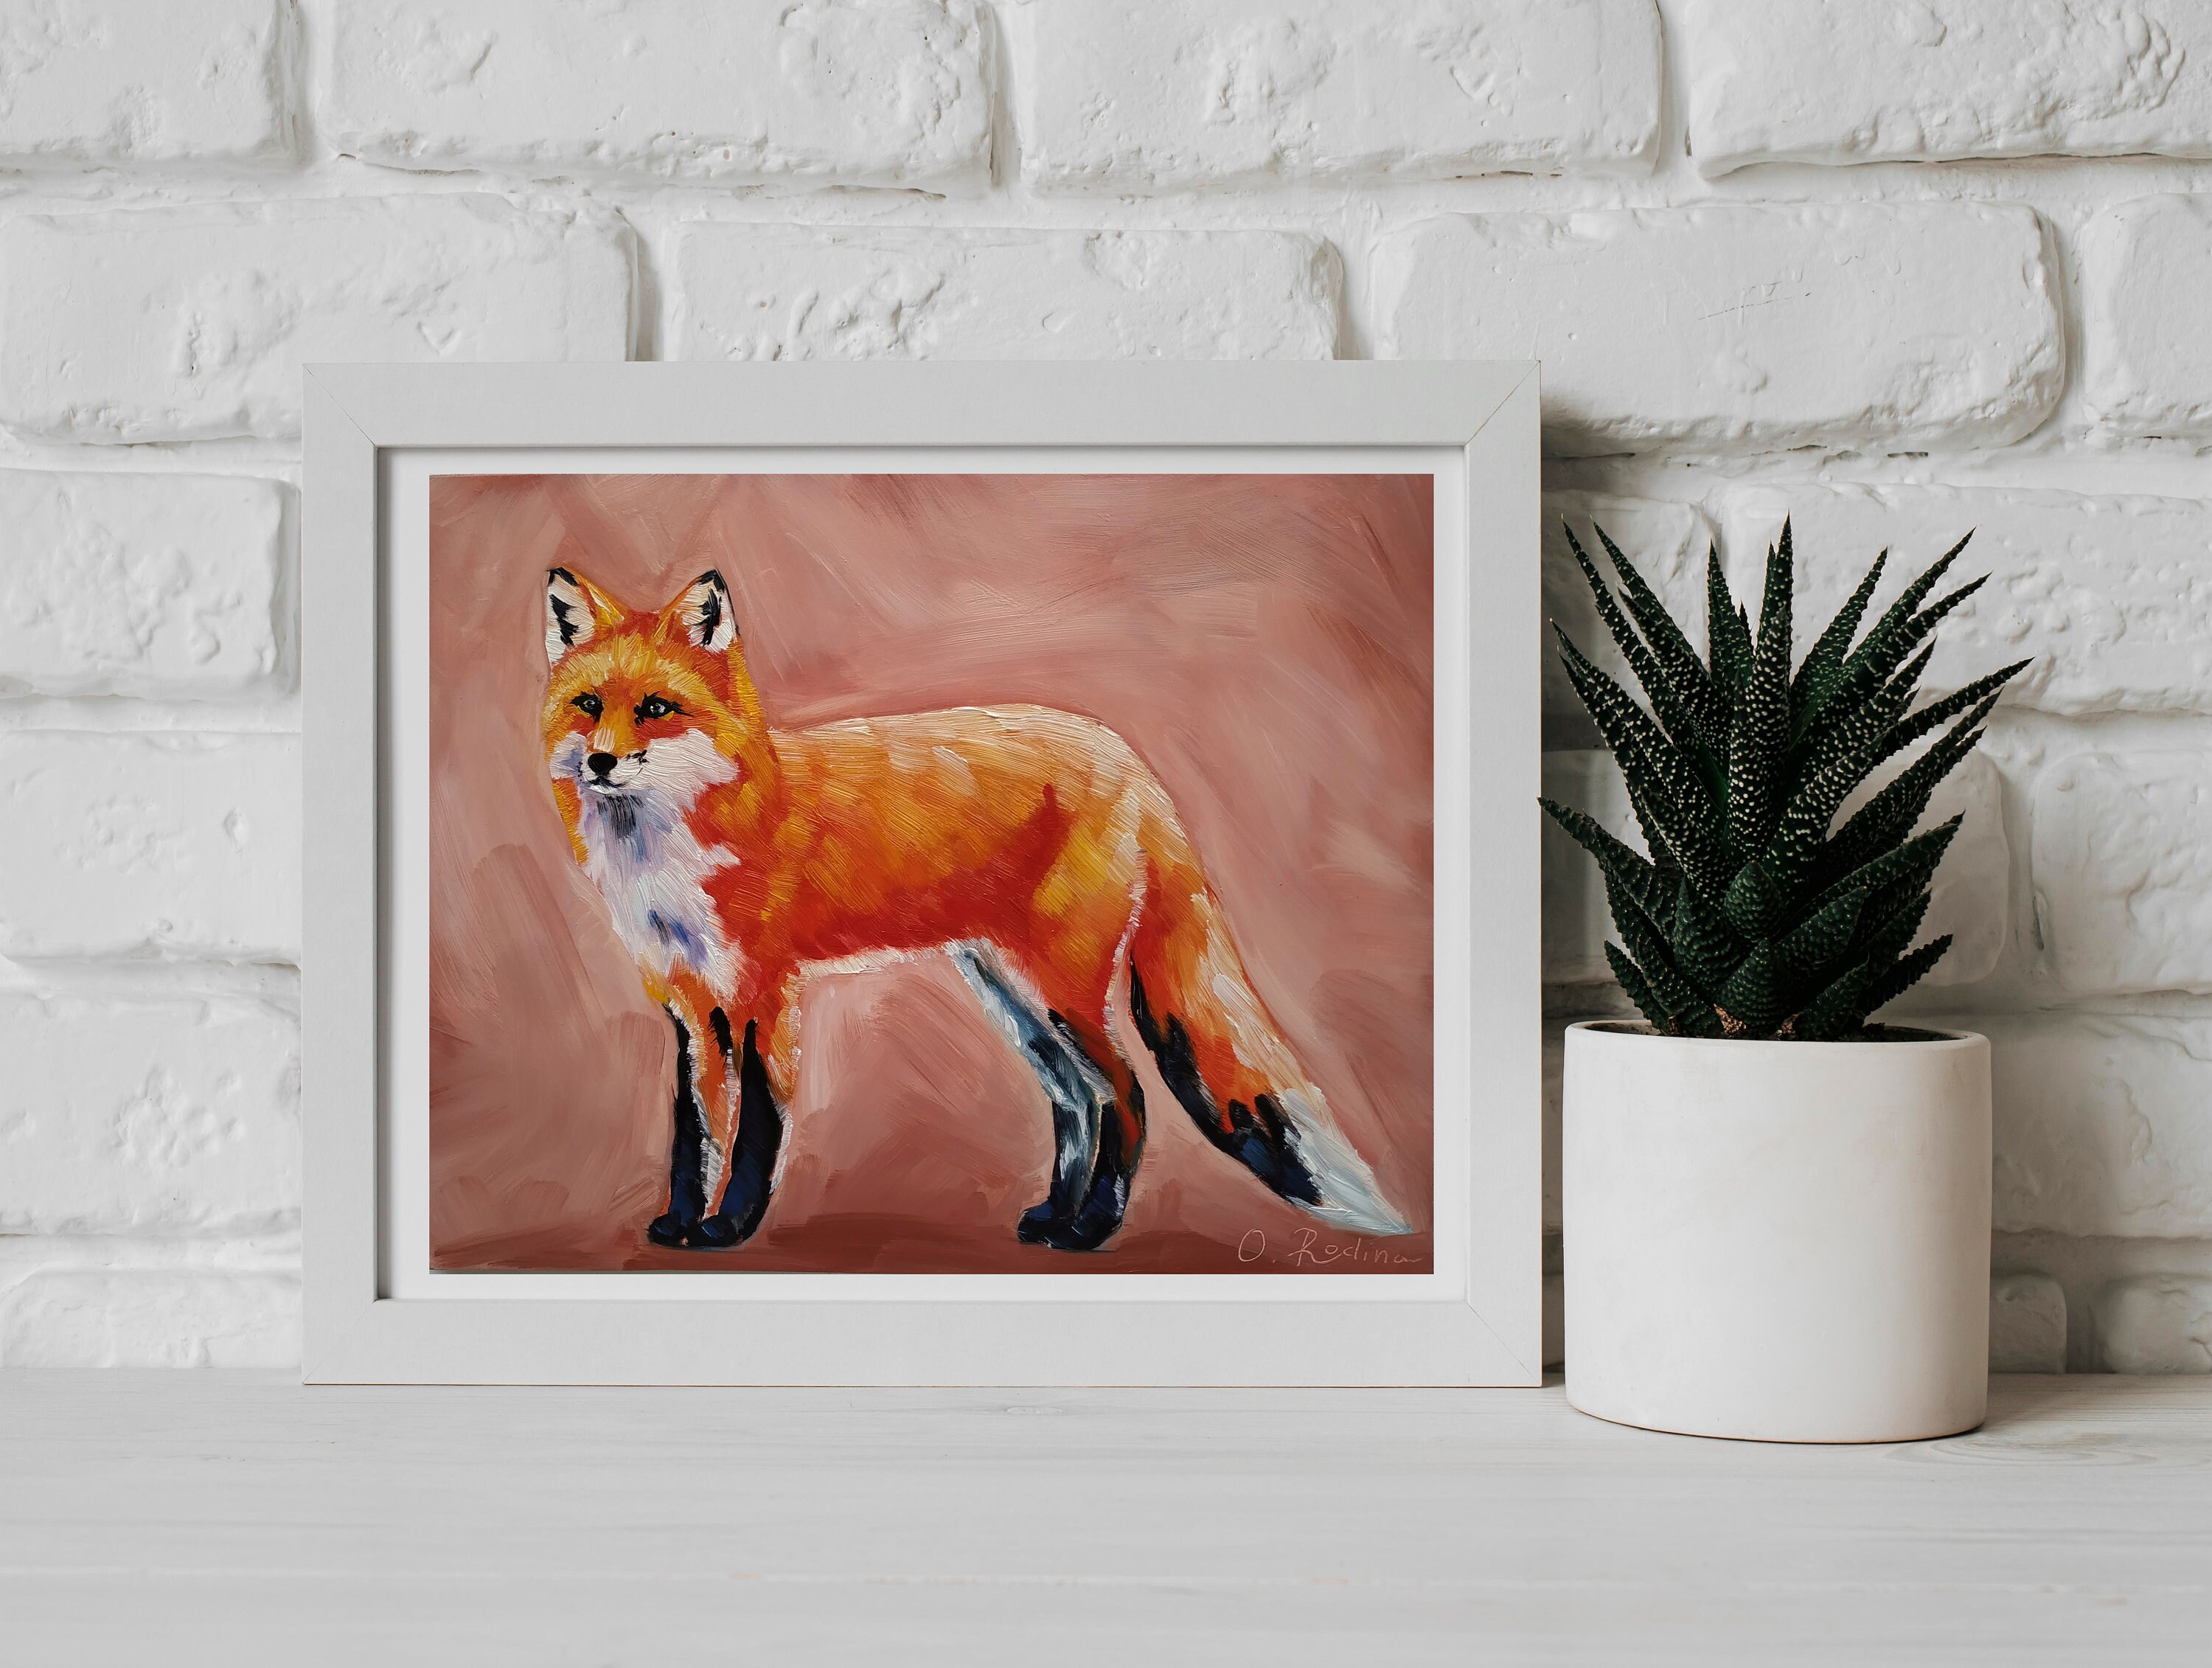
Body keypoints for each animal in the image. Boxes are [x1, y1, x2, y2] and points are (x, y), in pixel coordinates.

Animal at [540, 564, 1411, 1253]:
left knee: (1127, 1096)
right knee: (1079, 1102)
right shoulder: (689, 1008)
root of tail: (1124, 753)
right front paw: (682, 1224)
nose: (602, 762)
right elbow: (692, 1139)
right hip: (1012, 996)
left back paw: (1092, 1232)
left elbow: (752, 1131)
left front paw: (726, 1229)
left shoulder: (763, 999)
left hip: (1059, 993)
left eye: (657, 709)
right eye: (587, 704)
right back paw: (1055, 1219)